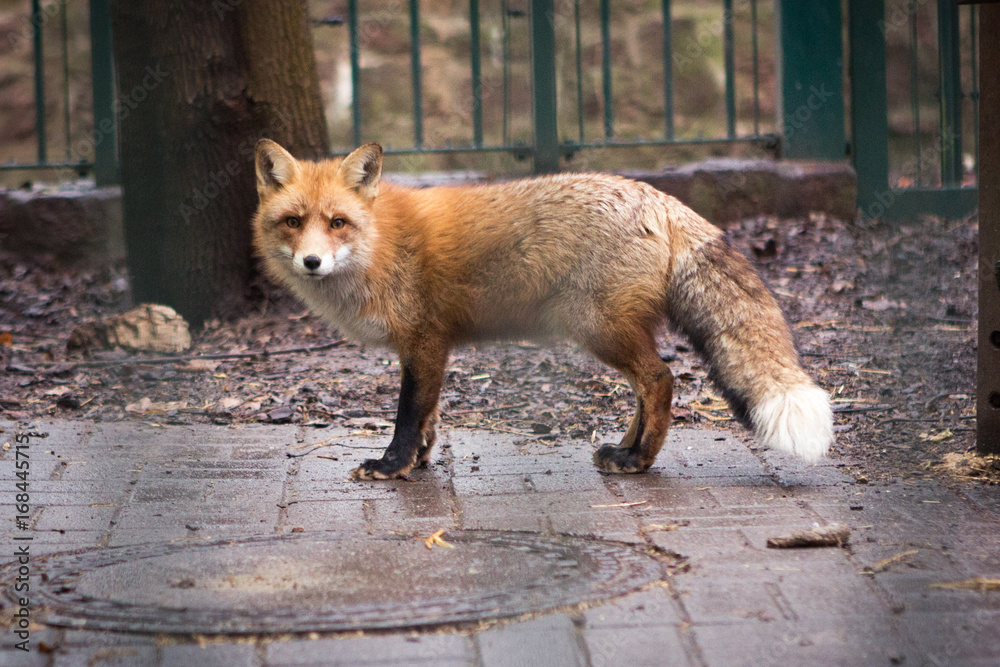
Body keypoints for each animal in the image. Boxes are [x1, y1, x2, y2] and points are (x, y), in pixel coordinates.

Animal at [252, 139, 834, 480]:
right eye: (293, 221)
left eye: (337, 223)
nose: (311, 262)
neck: (379, 243)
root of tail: (659, 197)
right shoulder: (427, 349)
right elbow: (430, 419)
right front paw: (417, 463)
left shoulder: (424, 341)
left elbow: (408, 414)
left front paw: (392, 465)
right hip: (608, 330)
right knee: (649, 386)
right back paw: (623, 451)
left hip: (596, 327)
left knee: (661, 379)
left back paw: (638, 461)